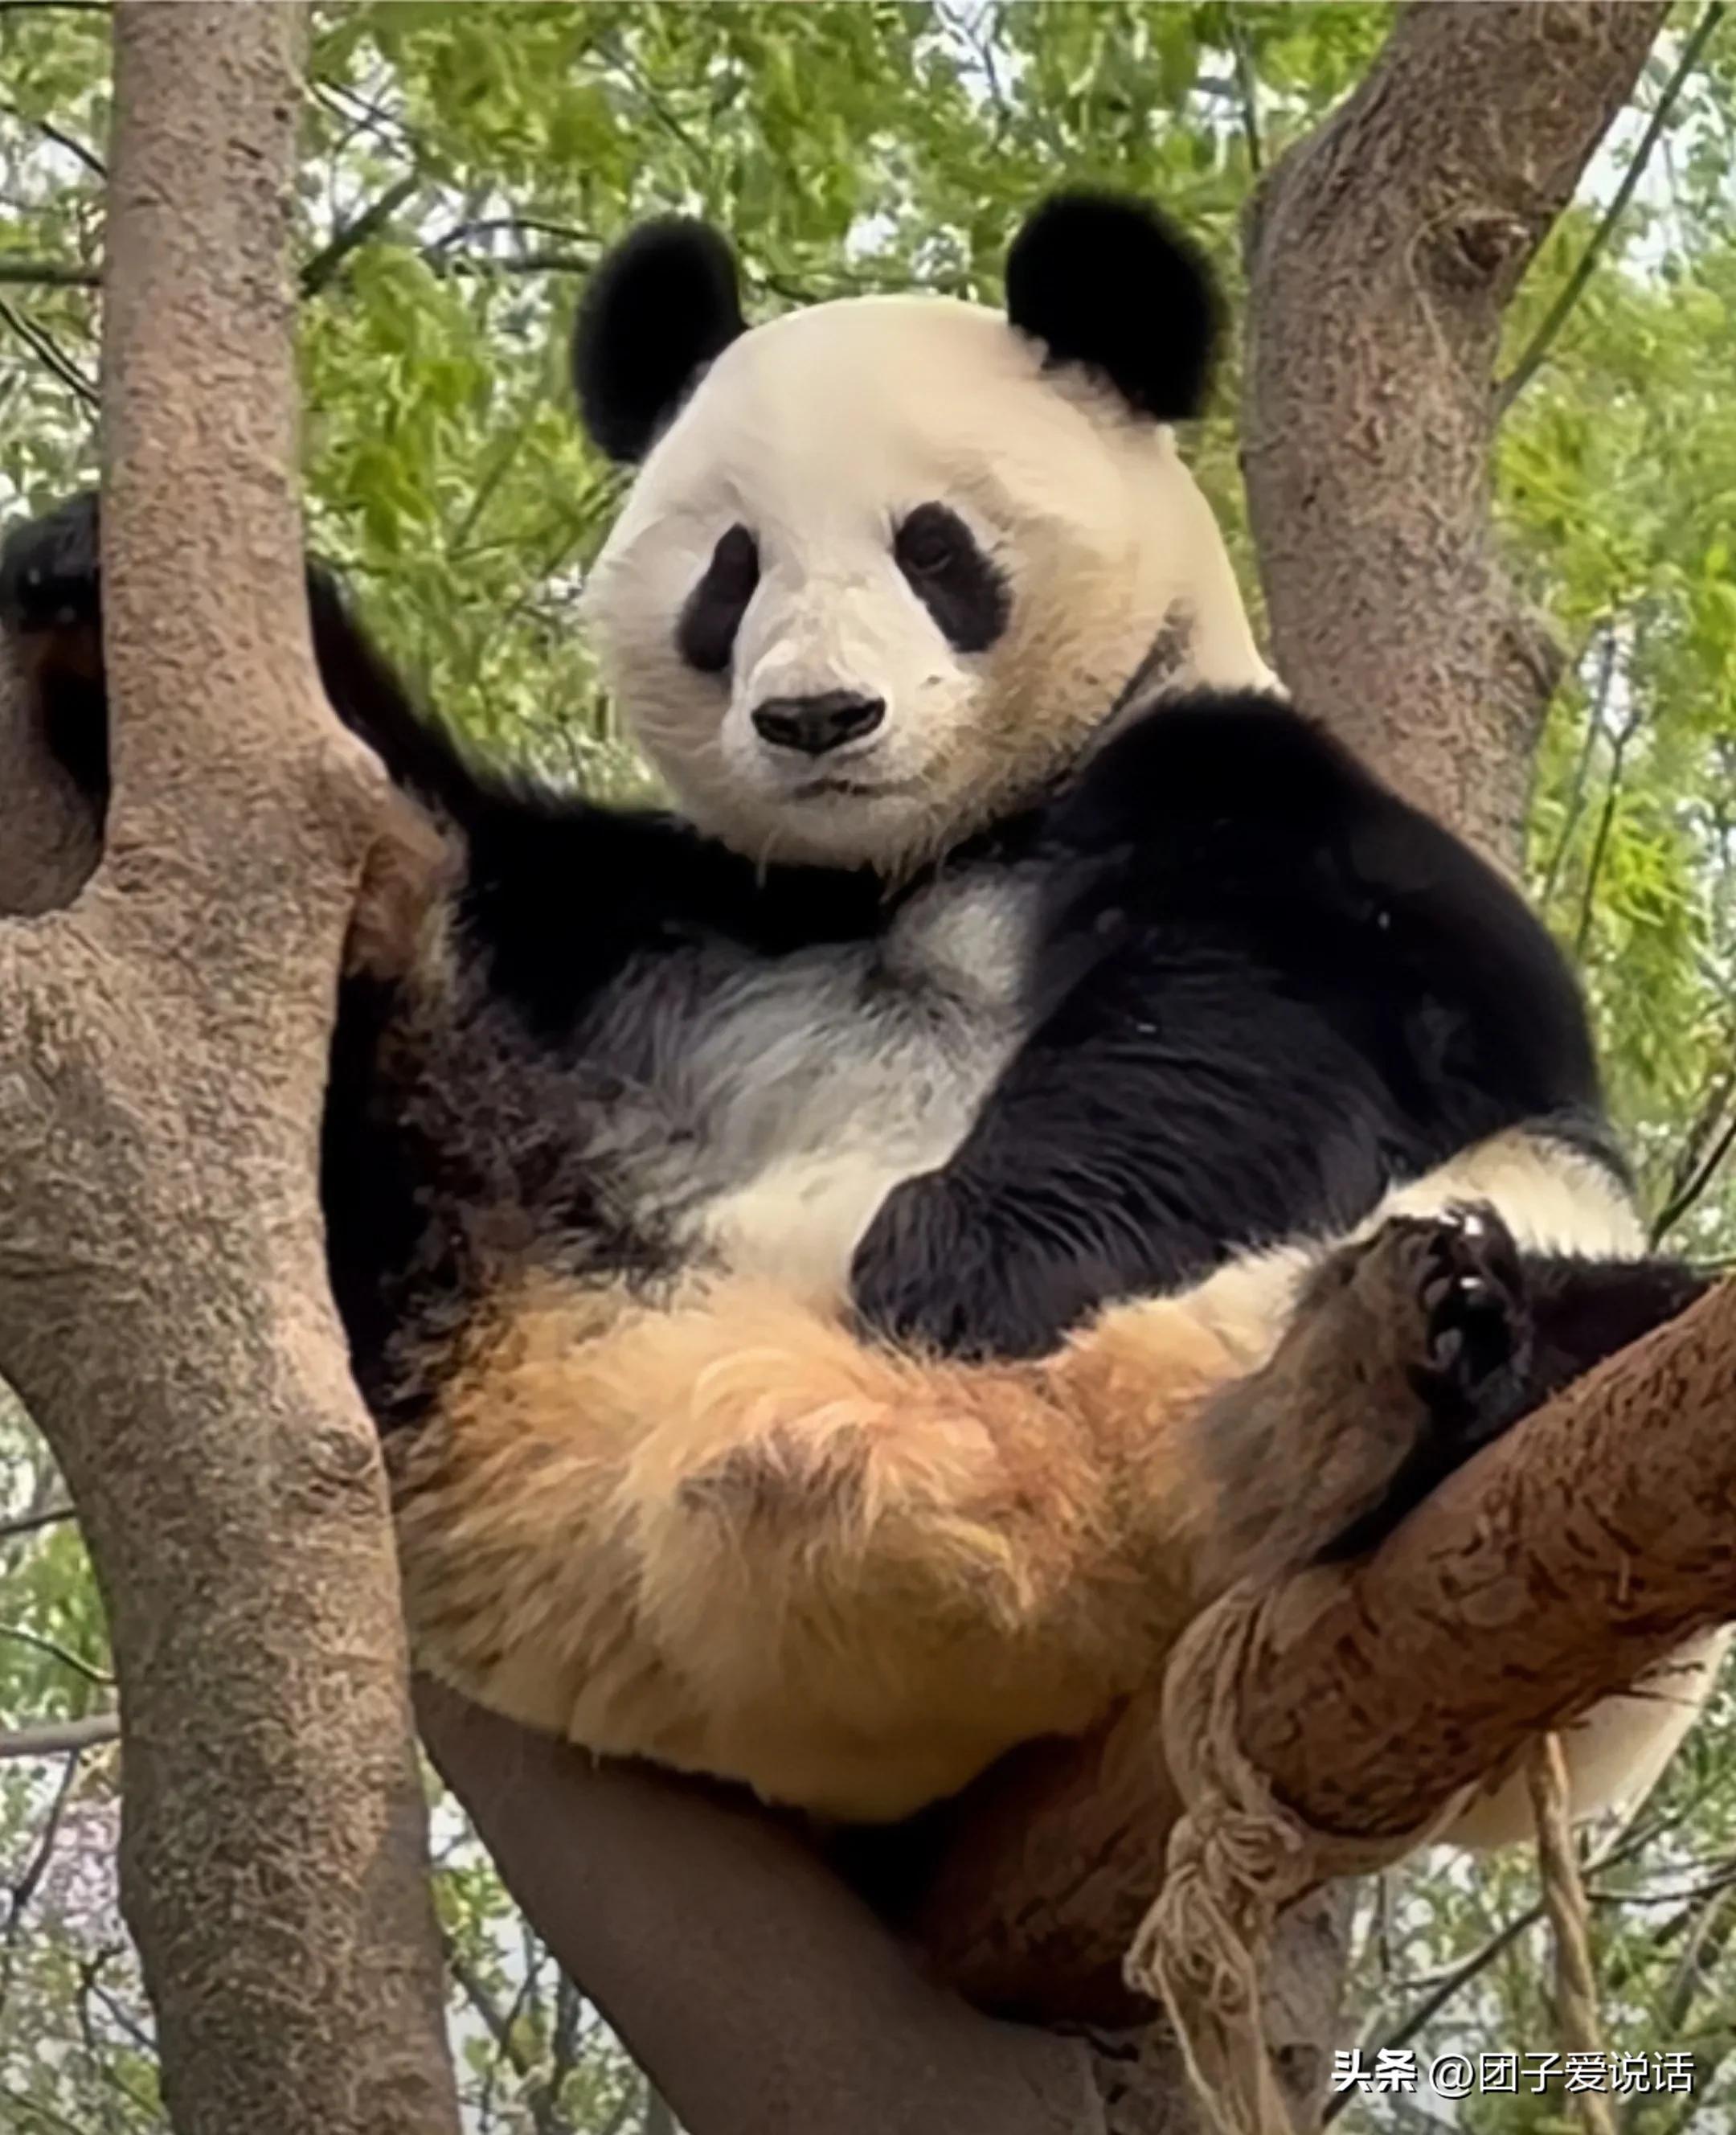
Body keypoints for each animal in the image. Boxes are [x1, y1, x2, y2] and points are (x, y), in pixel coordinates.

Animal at [1, 190, 1722, 1843]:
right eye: (732, 568)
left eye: (936, 549)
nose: (818, 718)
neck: (922, 854)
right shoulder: (696, 913)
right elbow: (482, 850)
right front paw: (79, 589)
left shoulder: (1251, 784)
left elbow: (1285, 1005)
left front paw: (952, 1254)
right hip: (499, 1230)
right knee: (393, 1013)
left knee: (1622, 1309)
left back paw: (1427, 1366)